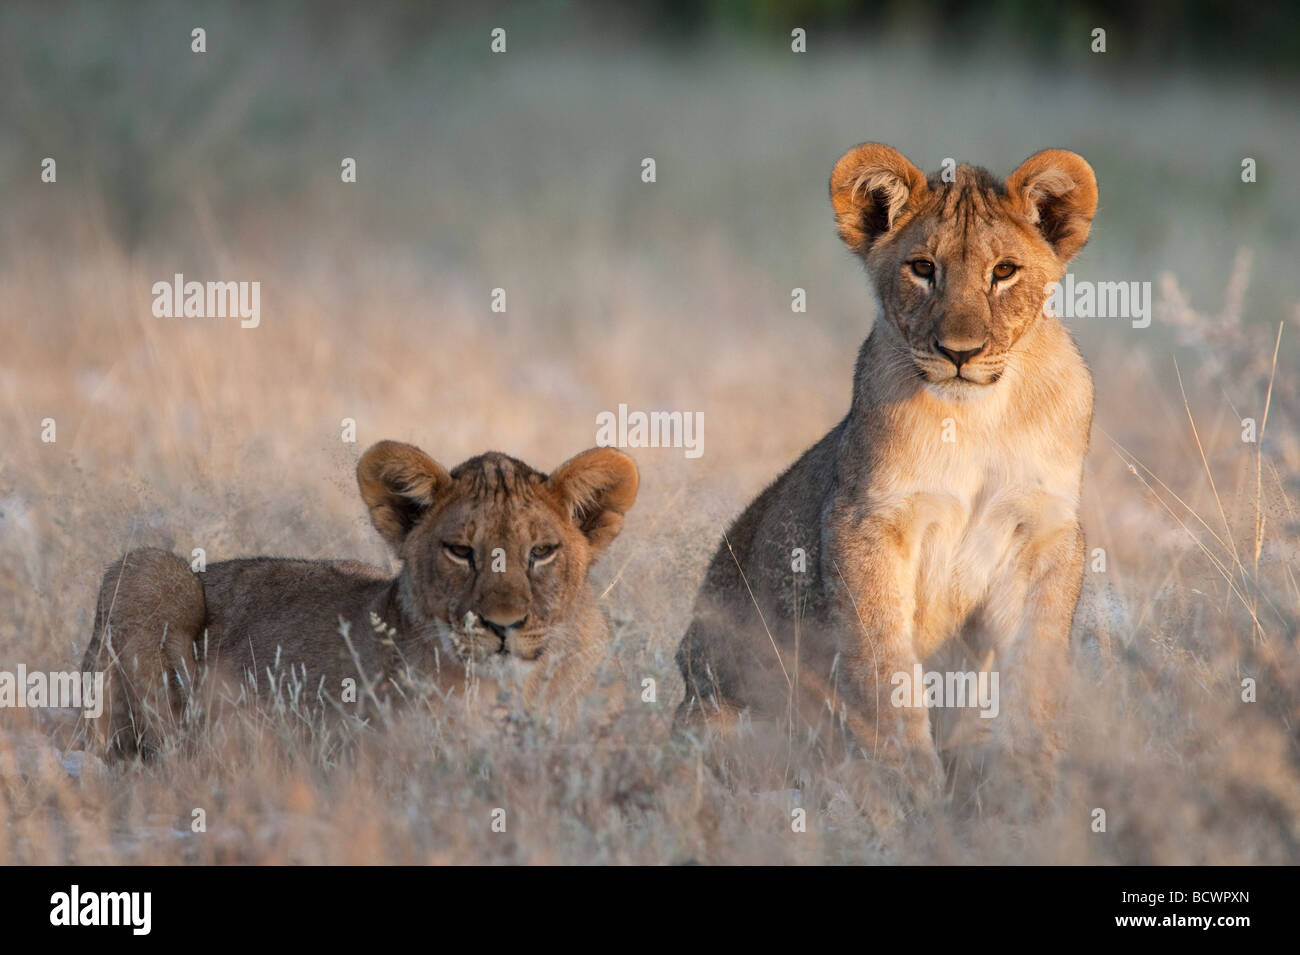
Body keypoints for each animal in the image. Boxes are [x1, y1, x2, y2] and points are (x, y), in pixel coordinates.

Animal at [674, 143, 1098, 802]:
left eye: (1004, 271)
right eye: (922, 268)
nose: (960, 353)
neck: (976, 419)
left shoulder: (1045, 530)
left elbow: (1037, 670)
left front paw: (1029, 789)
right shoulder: (865, 521)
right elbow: (884, 668)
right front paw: (909, 785)